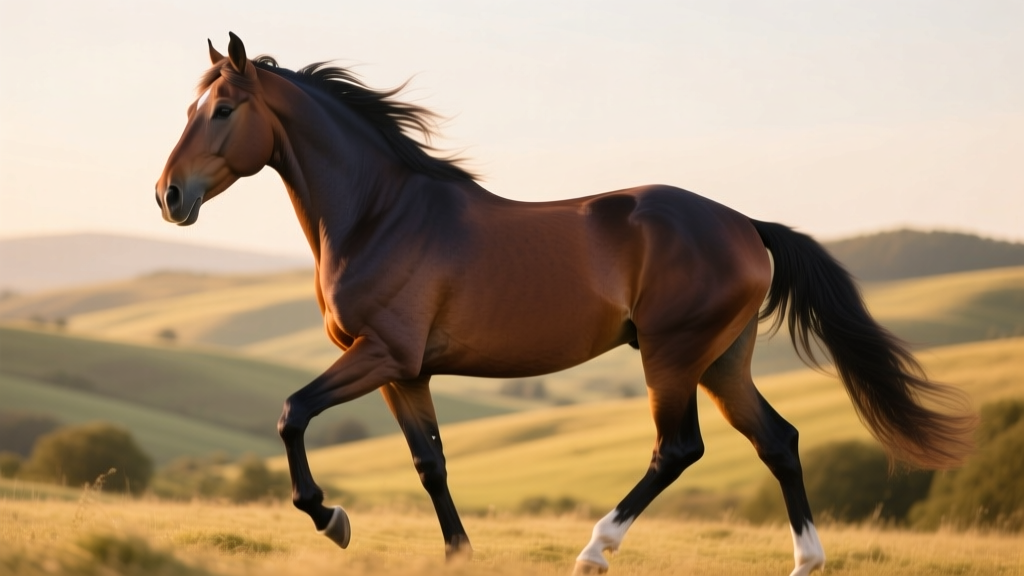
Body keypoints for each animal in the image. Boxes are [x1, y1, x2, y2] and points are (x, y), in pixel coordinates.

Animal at [155, 33, 974, 576]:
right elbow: (430, 462)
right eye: (191, 106)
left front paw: (333, 520)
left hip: (672, 356)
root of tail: (747, 225)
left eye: (223, 108)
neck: (380, 214)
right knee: (778, 440)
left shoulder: (380, 354)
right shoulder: (406, 372)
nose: (169, 196)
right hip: (722, 361)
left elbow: (292, 413)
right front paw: (459, 554)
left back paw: (595, 550)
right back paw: (806, 561)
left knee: (679, 449)